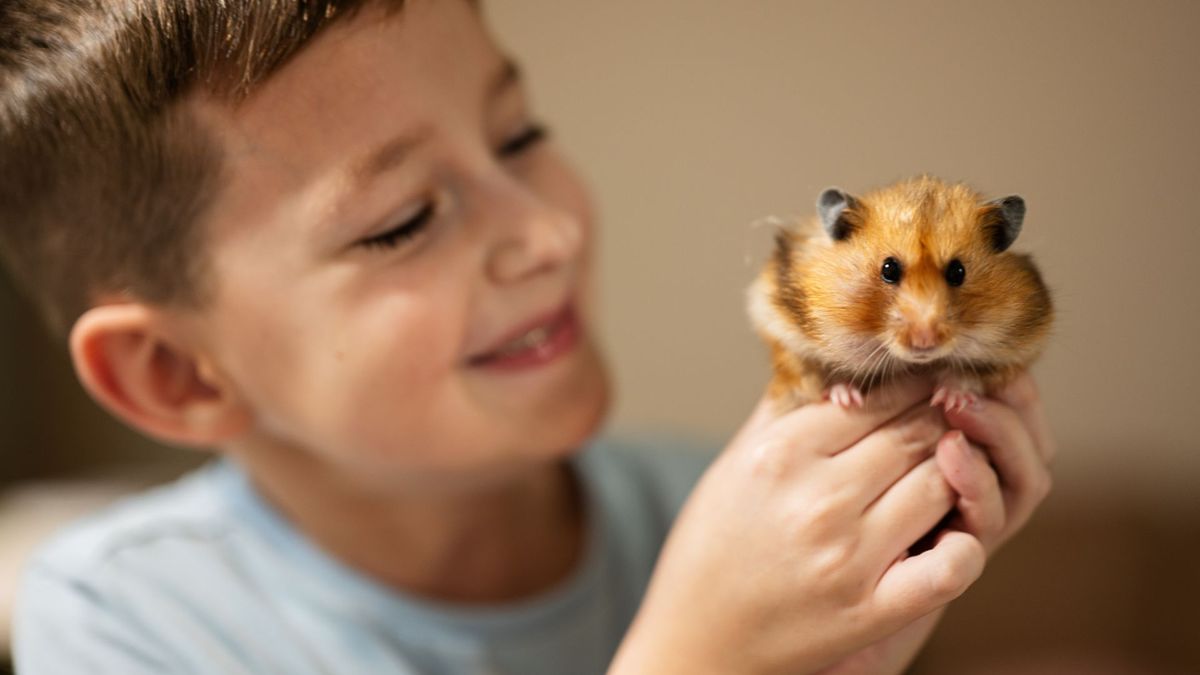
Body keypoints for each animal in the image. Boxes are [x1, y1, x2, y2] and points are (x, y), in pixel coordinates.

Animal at [747, 175, 1053, 412]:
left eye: (958, 272)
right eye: (889, 269)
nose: (924, 342)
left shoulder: (1018, 351)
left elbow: (975, 376)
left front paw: (949, 399)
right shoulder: (781, 329)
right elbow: (808, 375)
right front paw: (845, 398)